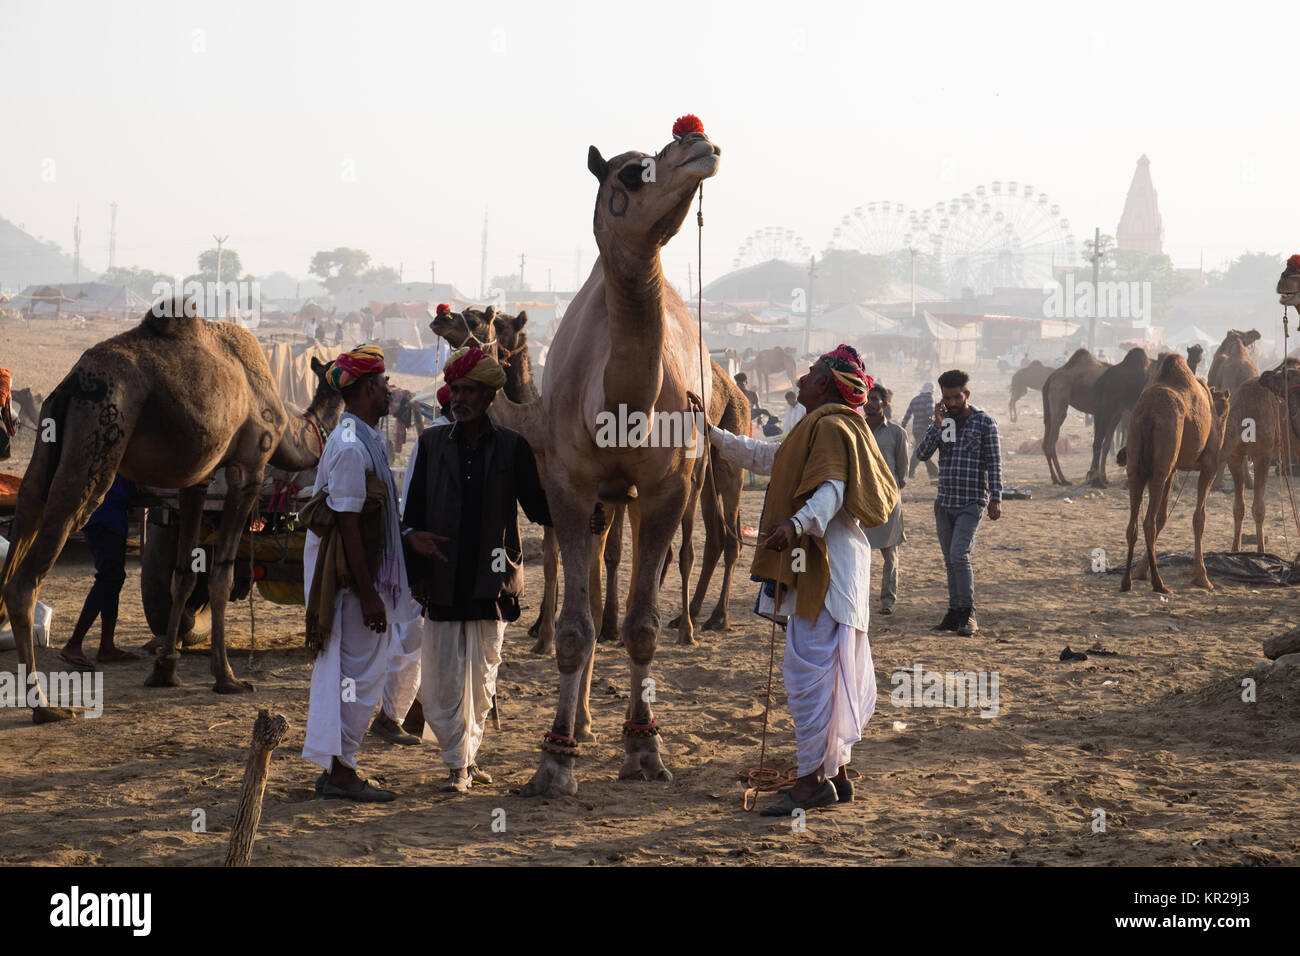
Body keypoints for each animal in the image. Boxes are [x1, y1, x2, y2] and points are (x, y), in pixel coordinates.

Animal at [0, 298, 342, 720]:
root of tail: (70, 384)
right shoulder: (248, 468)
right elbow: (221, 577)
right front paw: (227, 677)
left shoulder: (197, 480)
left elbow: (183, 575)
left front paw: (165, 668)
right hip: (97, 434)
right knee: (29, 576)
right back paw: (45, 707)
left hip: (48, 439)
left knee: (27, 510)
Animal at [520, 121, 721, 799]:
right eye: (631, 174)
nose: (700, 143)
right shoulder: (567, 482)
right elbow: (573, 629)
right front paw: (553, 763)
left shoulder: (667, 487)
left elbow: (641, 626)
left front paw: (644, 753)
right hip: (598, 498)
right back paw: (578, 723)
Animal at [1040, 349, 1111, 485]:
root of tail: (1050, 379)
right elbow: (1104, 444)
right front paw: (1101, 478)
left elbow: (1097, 442)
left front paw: (1092, 476)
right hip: (1059, 396)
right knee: (1051, 442)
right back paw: (1062, 479)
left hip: (1048, 408)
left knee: (1045, 441)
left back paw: (1055, 478)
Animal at [1119, 353, 1231, 594]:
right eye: (1226, 412)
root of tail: (1149, 413)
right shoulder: (1209, 465)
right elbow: (1199, 517)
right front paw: (1202, 578)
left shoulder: (1174, 468)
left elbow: (1164, 517)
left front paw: (1140, 571)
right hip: (1163, 455)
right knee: (1148, 522)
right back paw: (1159, 584)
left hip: (1137, 457)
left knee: (1134, 523)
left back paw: (1126, 582)